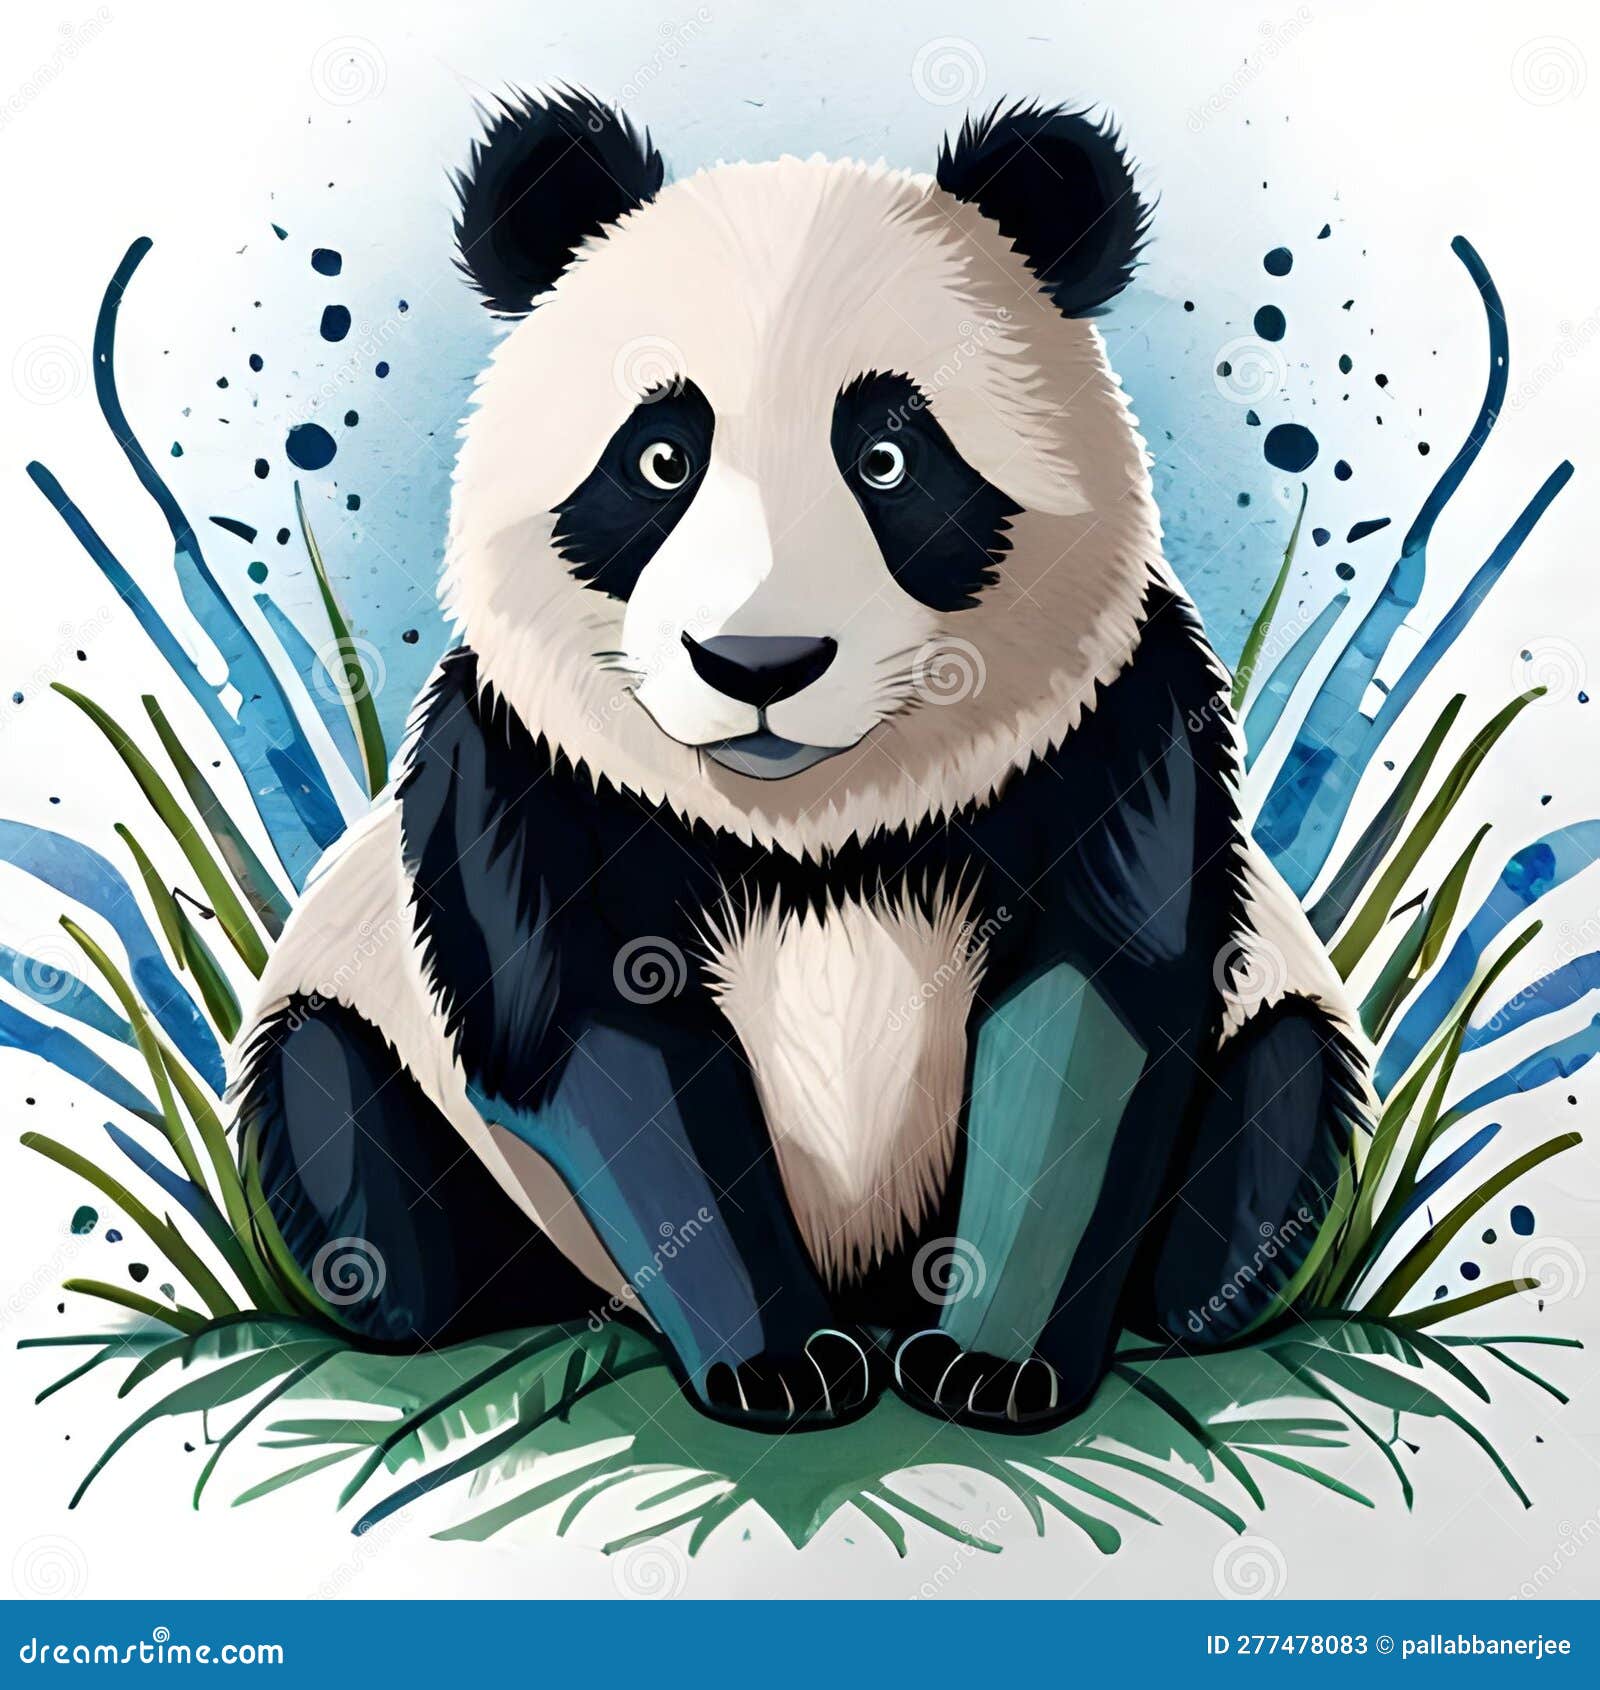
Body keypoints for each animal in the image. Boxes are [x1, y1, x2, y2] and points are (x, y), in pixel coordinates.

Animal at [236, 88, 1371, 1434]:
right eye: (659, 458)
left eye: (888, 459)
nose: (758, 663)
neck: (813, 810)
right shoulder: (523, 770)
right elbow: (600, 1049)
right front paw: (783, 1368)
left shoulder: (1115, 727)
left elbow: (1087, 1022)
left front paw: (992, 1367)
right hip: (383, 1059)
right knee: (349, 1150)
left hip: (1274, 1046)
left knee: (1272, 1119)